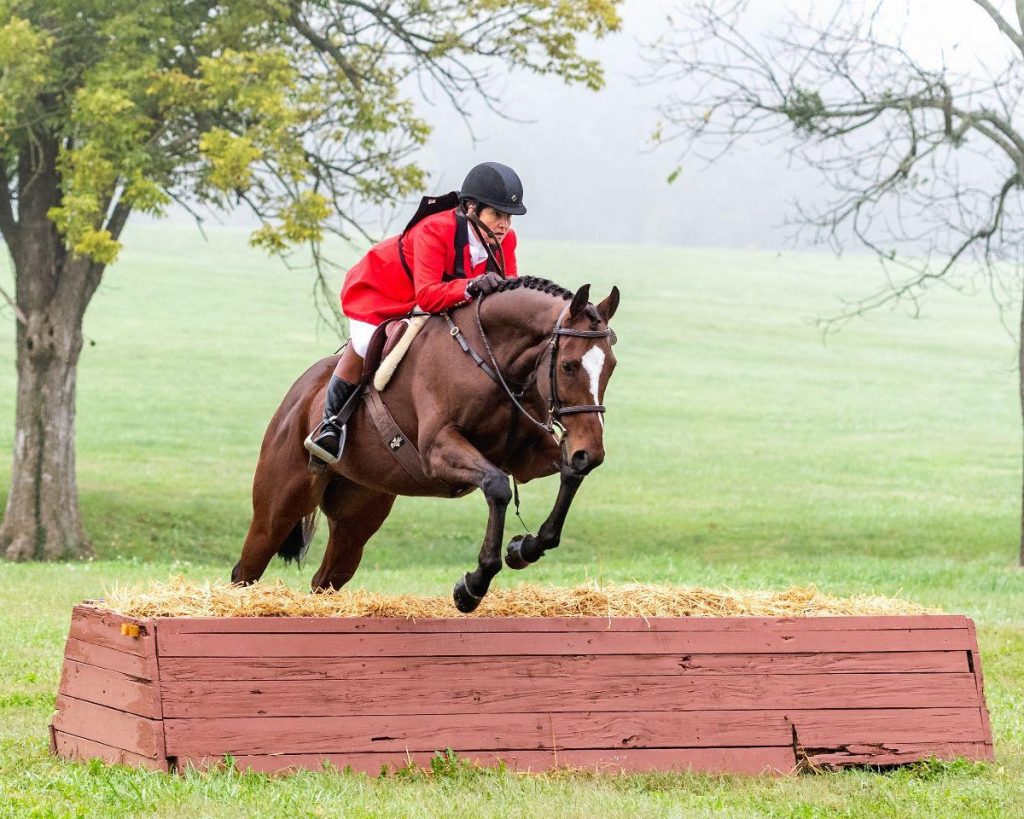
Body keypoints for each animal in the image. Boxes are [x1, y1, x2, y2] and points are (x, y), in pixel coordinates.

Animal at [231, 276, 619, 612]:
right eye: (568, 366)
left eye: (612, 366)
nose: (593, 453)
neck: (492, 356)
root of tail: (298, 395)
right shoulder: (438, 450)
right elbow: (497, 486)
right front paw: (473, 586)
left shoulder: (527, 454)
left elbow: (569, 475)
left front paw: (523, 549)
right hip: (279, 508)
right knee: (246, 570)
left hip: (358, 515)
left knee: (325, 580)